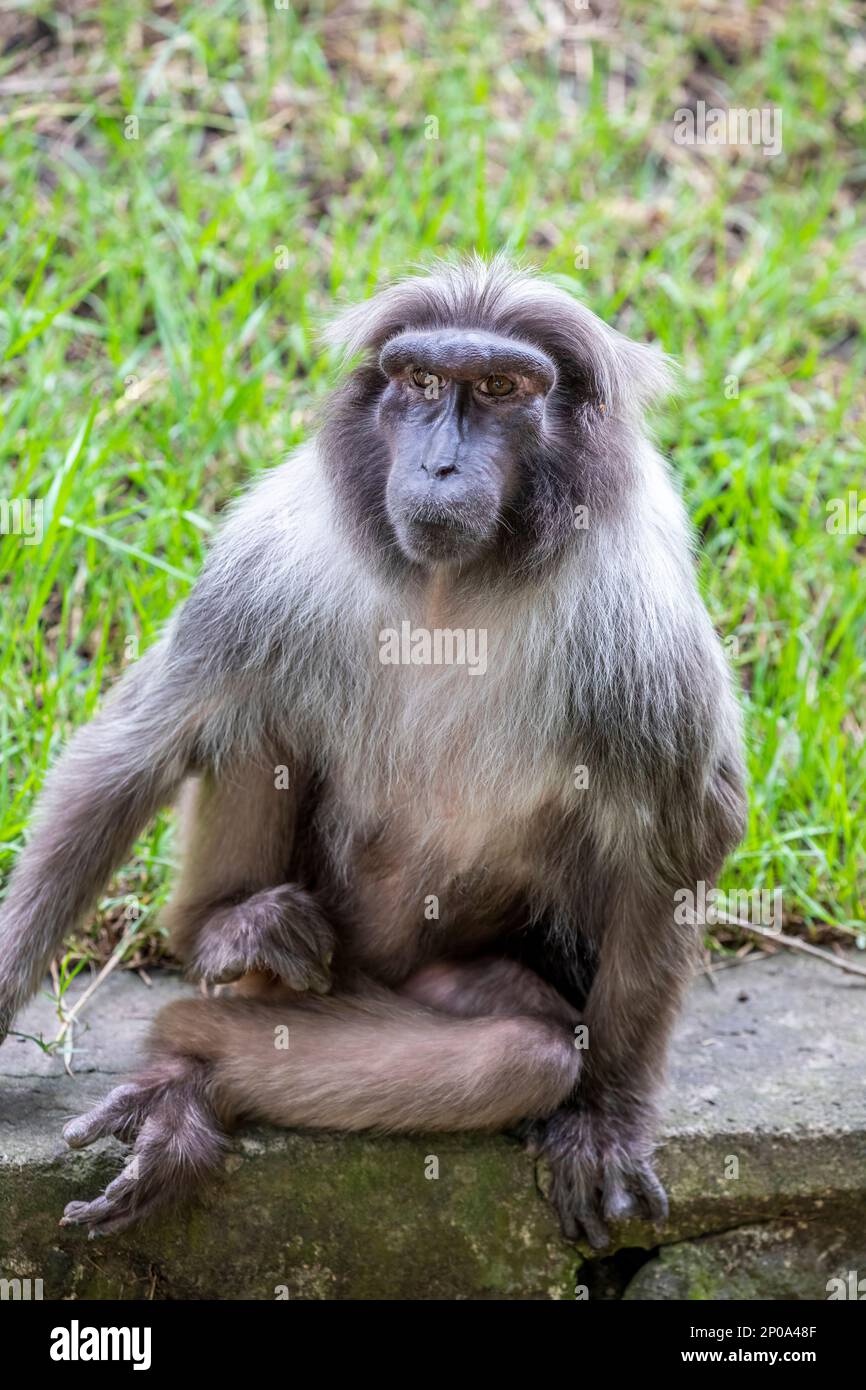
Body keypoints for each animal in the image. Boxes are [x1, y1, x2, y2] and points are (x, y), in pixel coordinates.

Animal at [0, 255, 746, 1247]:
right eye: (424, 382)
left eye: (500, 389)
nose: (440, 462)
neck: (452, 588)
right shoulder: (268, 556)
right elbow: (138, 745)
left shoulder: (642, 625)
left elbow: (682, 836)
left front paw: (609, 1117)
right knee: (249, 718)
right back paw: (224, 942)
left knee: (523, 1047)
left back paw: (197, 1074)